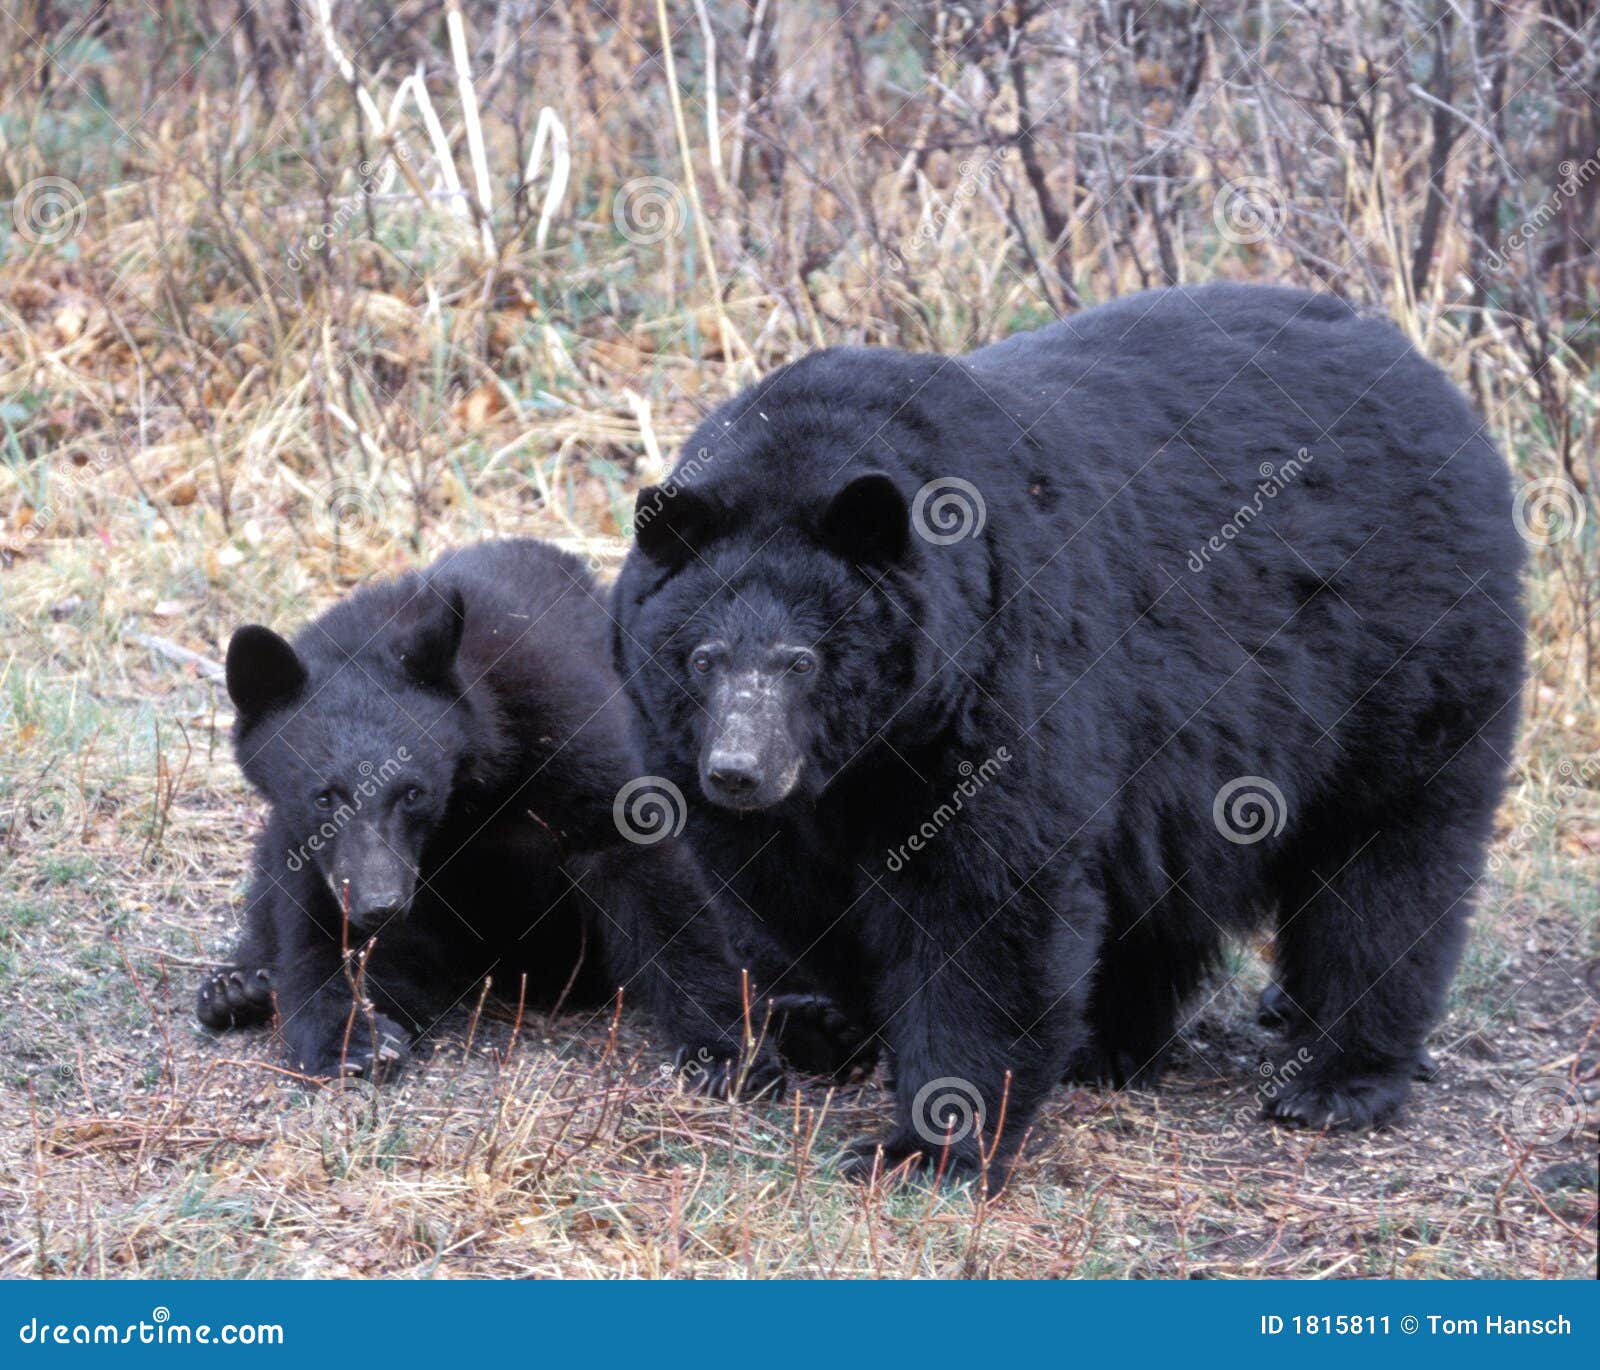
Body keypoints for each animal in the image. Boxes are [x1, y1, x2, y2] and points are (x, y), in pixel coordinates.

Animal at [197, 537, 779, 1093]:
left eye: (413, 792)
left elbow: (637, 858)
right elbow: (310, 918)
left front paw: (727, 1050)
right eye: (324, 796)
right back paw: (239, 987)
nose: (380, 906)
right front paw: (350, 1040)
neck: (471, 789)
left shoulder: (562, 722)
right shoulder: (311, 842)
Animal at [610, 283, 1526, 1184]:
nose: (739, 771)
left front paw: (927, 1144)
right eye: (701, 657)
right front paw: (840, 1025)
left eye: (802, 660)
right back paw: (1114, 1043)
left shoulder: (999, 676)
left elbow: (988, 902)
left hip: (1405, 655)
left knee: (1385, 866)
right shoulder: (709, 757)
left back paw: (1337, 1078)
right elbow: (791, 894)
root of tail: (1428, 377)